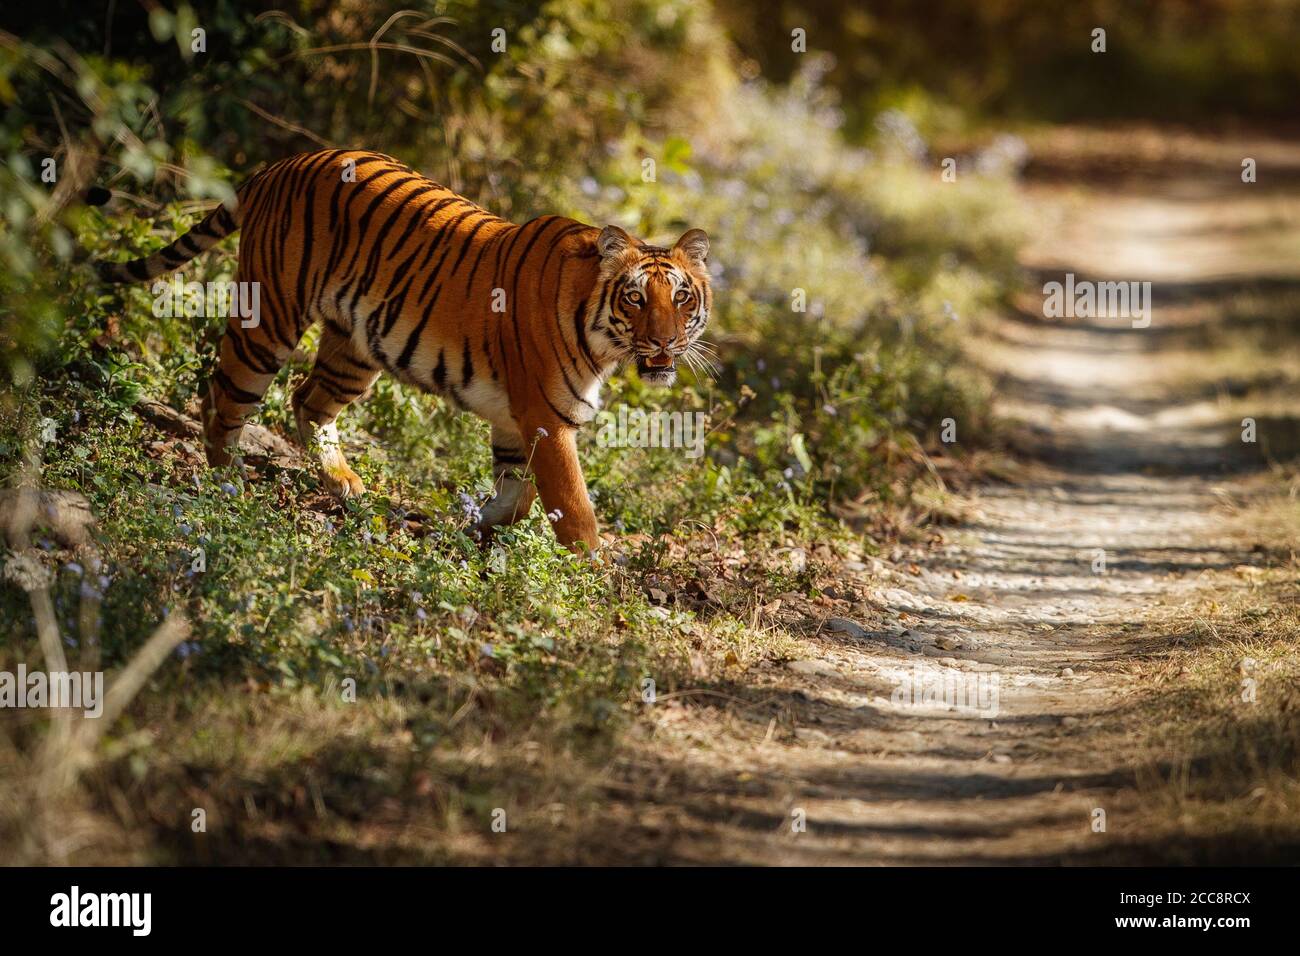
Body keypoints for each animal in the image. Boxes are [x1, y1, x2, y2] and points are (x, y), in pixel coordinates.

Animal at [91, 149, 713, 552]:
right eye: (635, 297)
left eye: (682, 297)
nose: (666, 341)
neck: (602, 338)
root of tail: (281, 164)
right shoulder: (546, 418)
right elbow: (575, 509)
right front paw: (592, 577)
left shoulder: (515, 421)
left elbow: (517, 496)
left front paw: (473, 532)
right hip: (269, 318)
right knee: (223, 398)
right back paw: (230, 487)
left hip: (356, 349)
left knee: (308, 400)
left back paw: (344, 485)